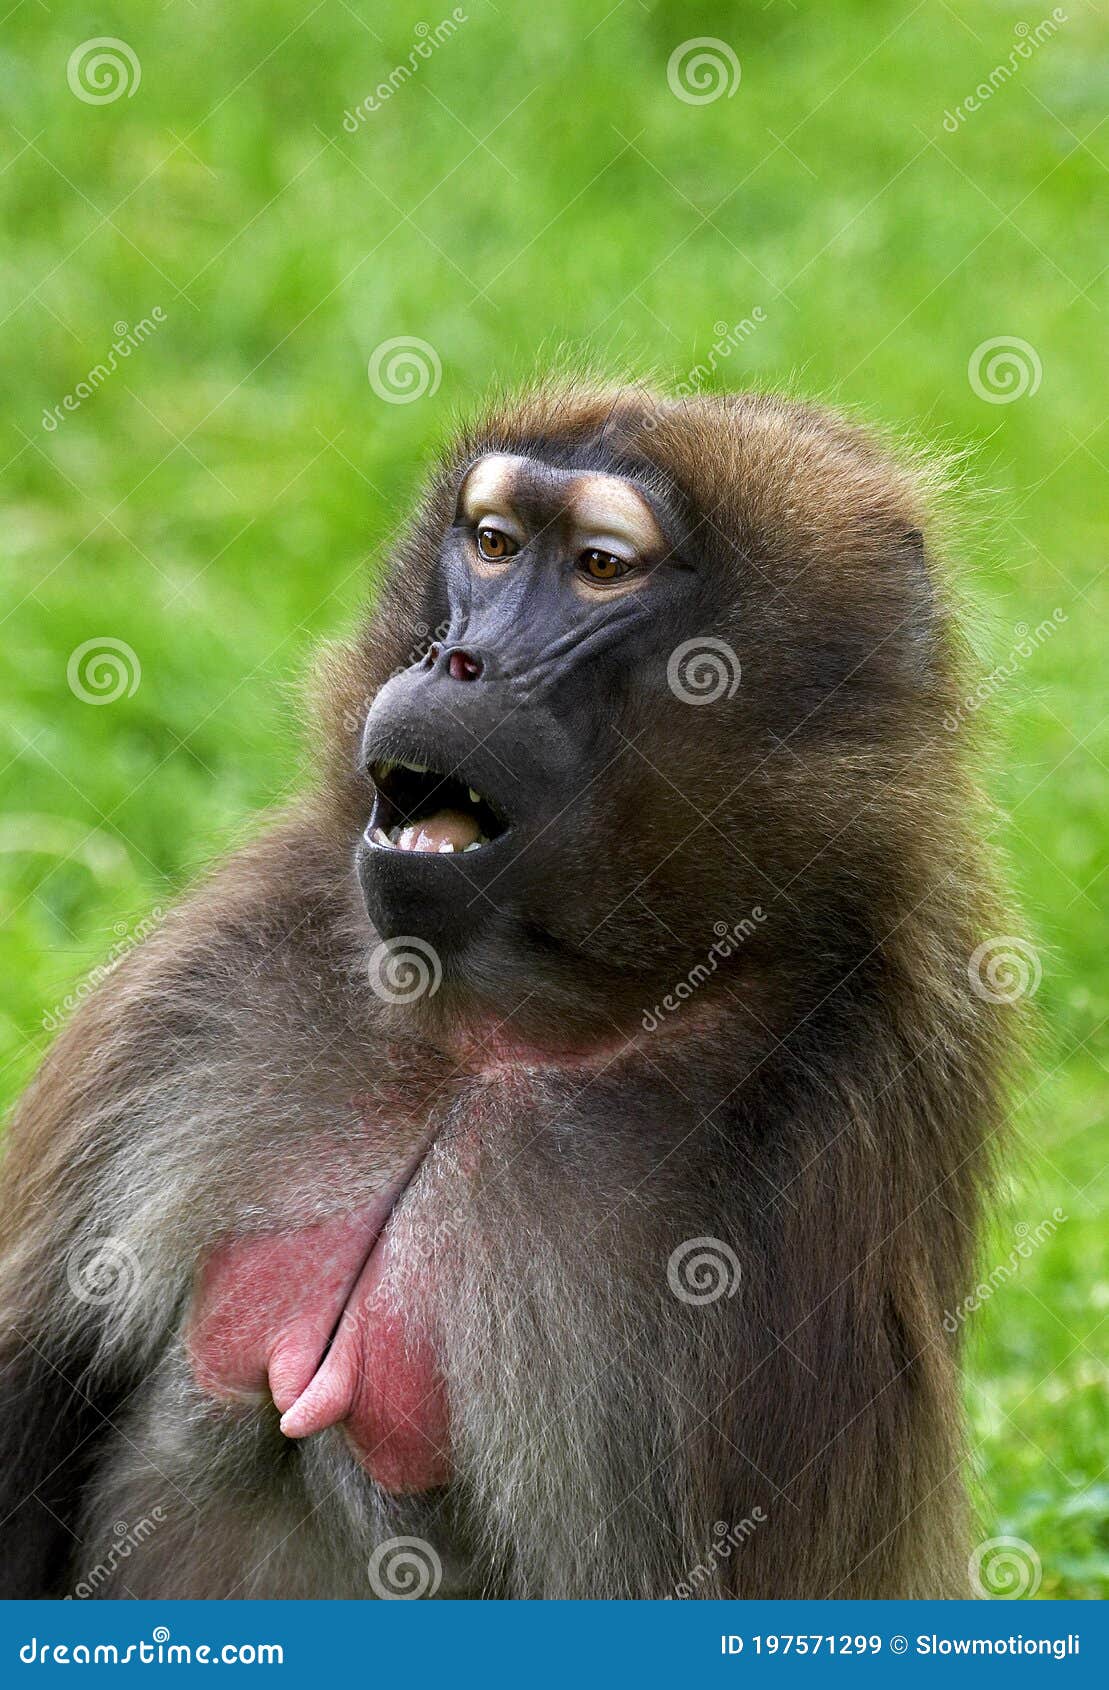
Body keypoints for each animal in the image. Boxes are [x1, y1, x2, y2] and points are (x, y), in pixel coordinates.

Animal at [0, 383, 1017, 1600]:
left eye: (598, 568)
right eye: (491, 544)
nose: (454, 660)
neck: (510, 1034)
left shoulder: (798, 1193)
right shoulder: (213, 980)